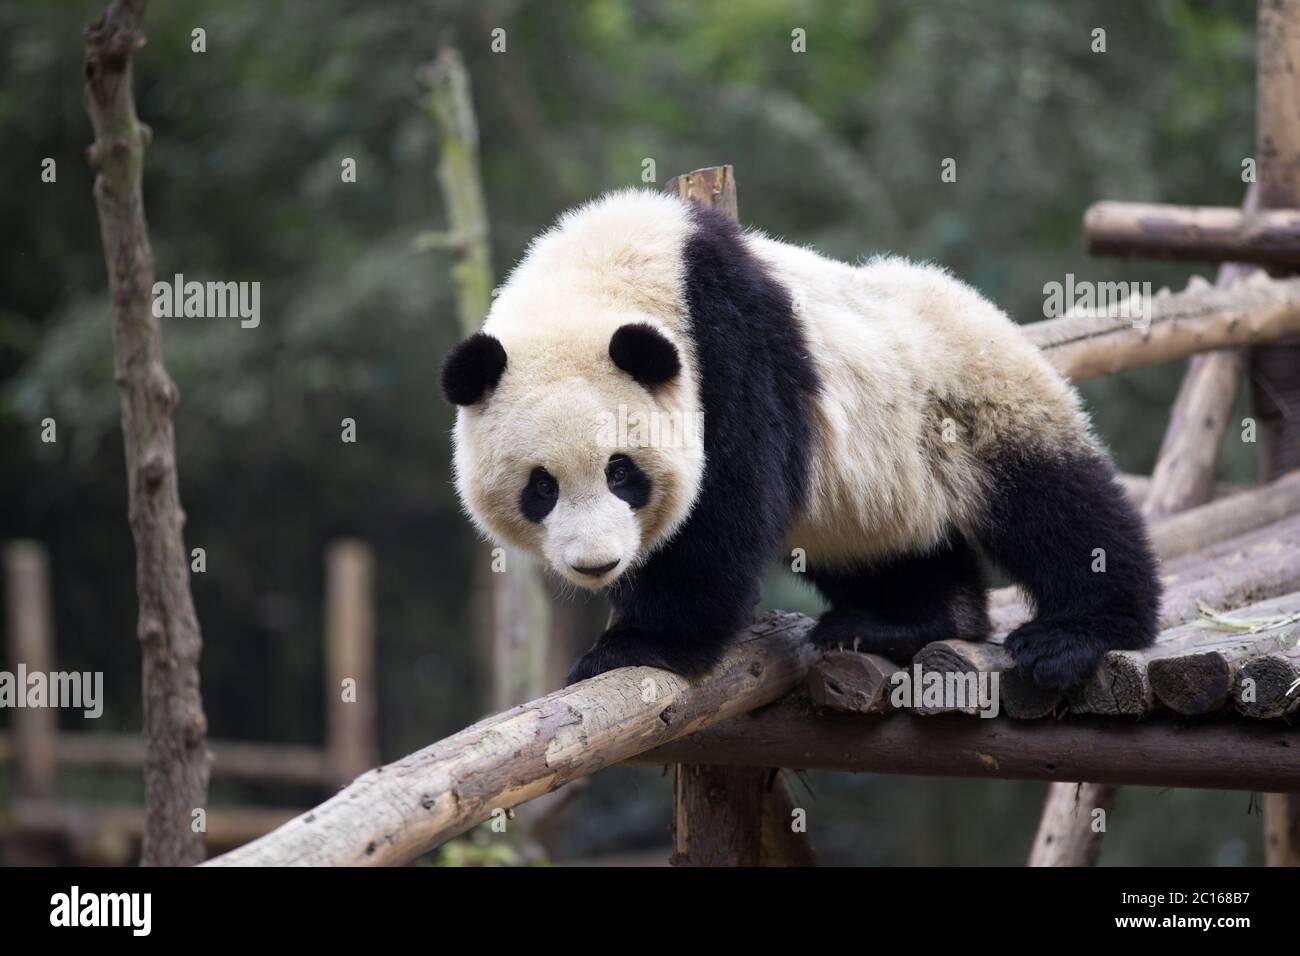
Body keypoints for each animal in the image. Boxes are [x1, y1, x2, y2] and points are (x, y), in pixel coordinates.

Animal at [441, 189, 1160, 690]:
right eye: (541, 486)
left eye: (623, 472)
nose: (596, 564)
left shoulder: (726, 342)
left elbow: (728, 501)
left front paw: (643, 644)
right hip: (888, 485)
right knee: (892, 547)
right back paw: (908, 620)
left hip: (975, 398)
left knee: (1060, 506)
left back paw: (1077, 633)